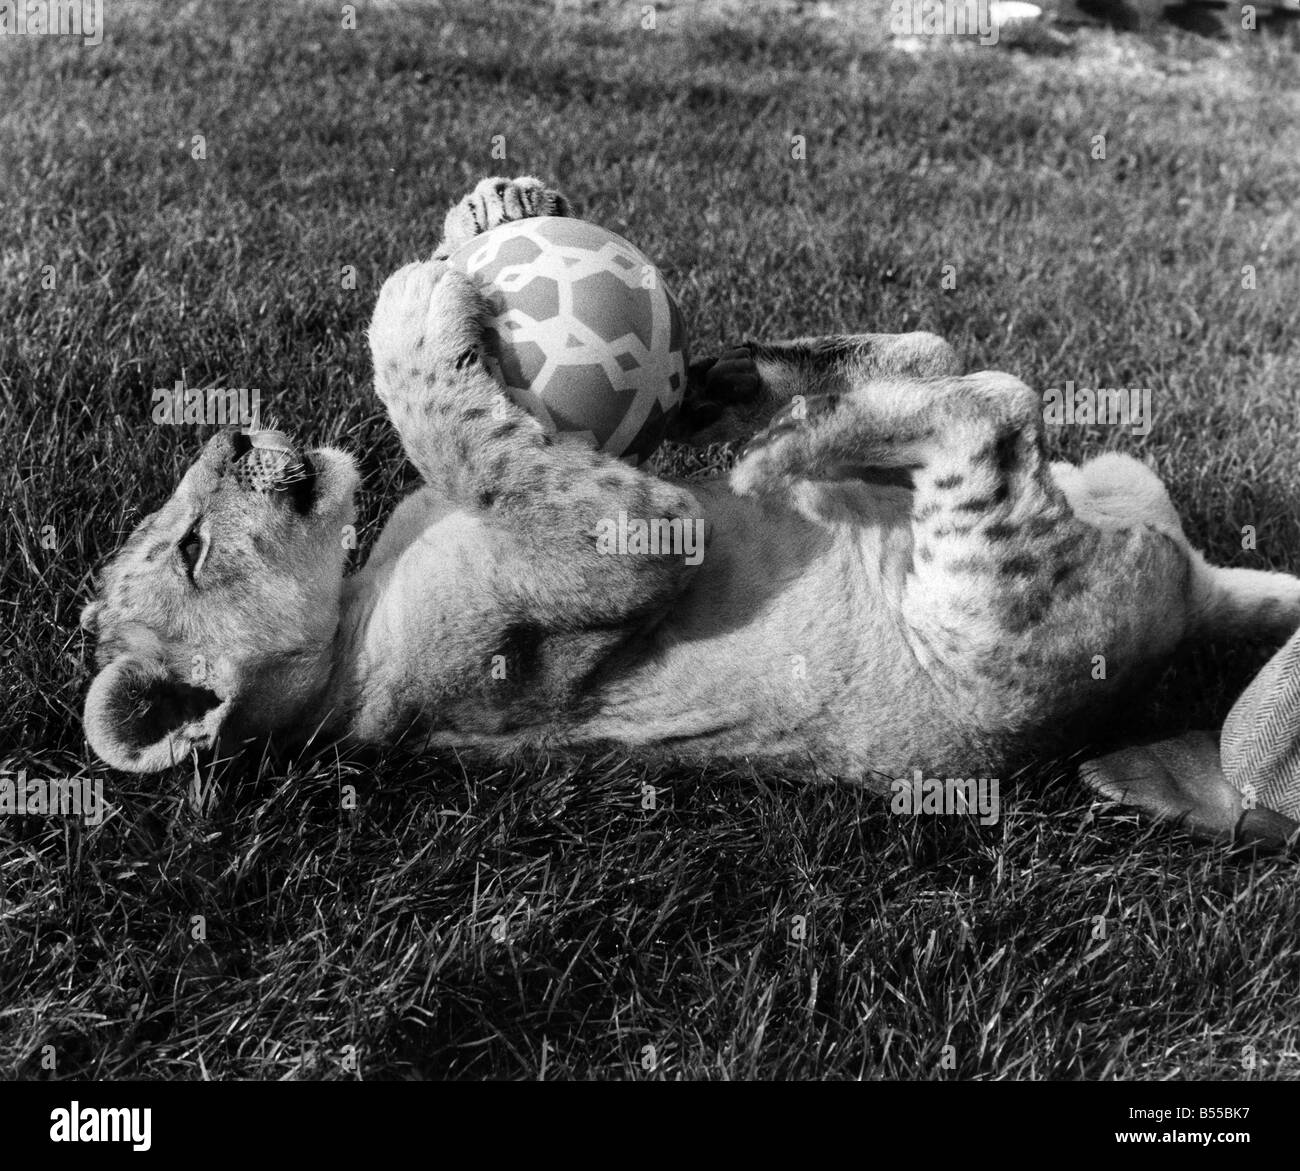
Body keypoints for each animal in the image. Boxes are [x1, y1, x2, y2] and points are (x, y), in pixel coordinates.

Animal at [81, 176, 1300, 840]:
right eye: (192, 549)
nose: (230, 435)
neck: (354, 598)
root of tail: (1187, 588)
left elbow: (483, 428)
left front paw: (491, 218)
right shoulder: (613, 548)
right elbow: (481, 433)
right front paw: (416, 301)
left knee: (944, 361)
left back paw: (757, 379)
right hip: (987, 600)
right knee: (992, 408)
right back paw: (791, 433)